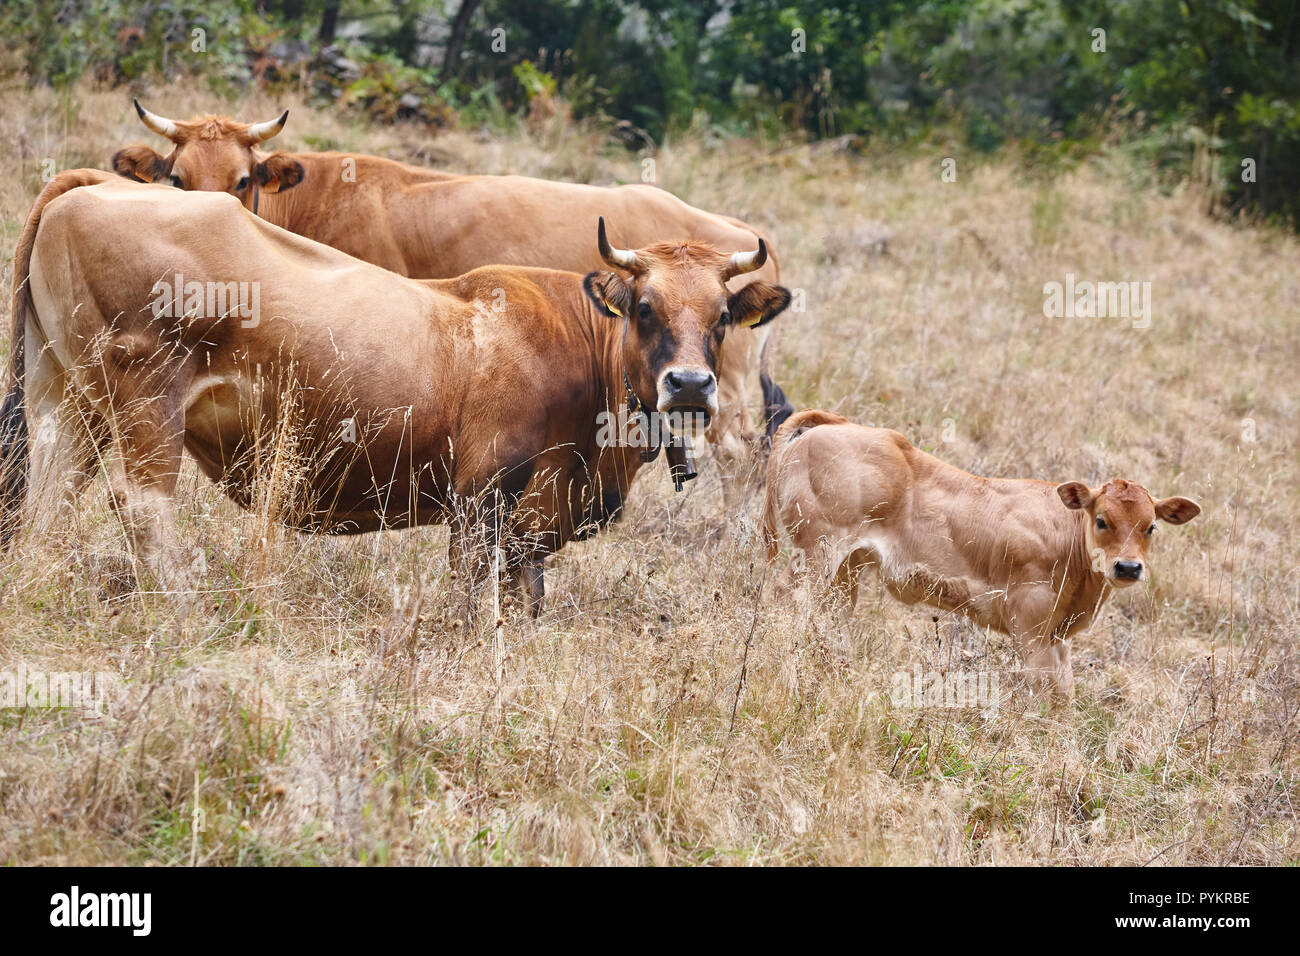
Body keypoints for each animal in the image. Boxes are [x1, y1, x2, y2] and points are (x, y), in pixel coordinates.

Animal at [0, 176, 791, 615]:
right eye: (646, 308)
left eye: (721, 317)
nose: (689, 384)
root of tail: (92, 187)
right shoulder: (482, 496)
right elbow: (472, 598)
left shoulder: (531, 522)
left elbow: (525, 599)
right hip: (146, 403)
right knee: (139, 505)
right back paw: (186, 606)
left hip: (69, 403)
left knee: (47, 503)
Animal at [761, 410, 1201, 700]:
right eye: (1102, 520)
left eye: (1151, 526)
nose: (1127, 567)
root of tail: (833, 424)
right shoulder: (1031, 625)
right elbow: (1041, 687)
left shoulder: (1059, 636)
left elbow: (1064, 693)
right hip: (816, 550)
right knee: (789, 597)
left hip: (846, 567)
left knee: (833, 615)